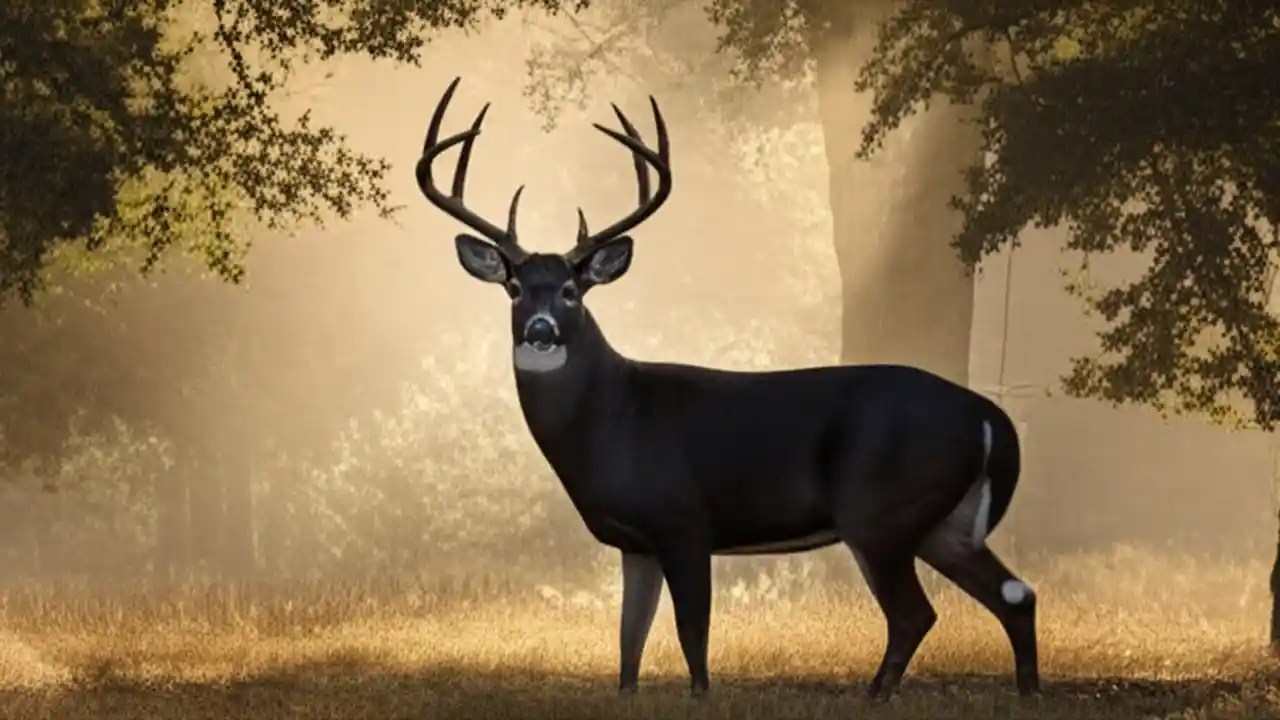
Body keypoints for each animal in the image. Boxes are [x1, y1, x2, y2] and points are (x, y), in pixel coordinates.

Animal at [414, 77, 1040, 700]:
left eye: (572, 290)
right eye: (515, 287)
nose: (541, 330)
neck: (614, 417)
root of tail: (989, 416)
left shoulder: (684, 518)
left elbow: (692, 629)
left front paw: (700, 697)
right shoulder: (635, 542)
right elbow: (628, 641)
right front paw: (630, 695)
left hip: (881, 511)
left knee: (915, 613)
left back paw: (876, 696)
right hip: (944, 523)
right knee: (1016, 596)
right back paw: (1025, 692)